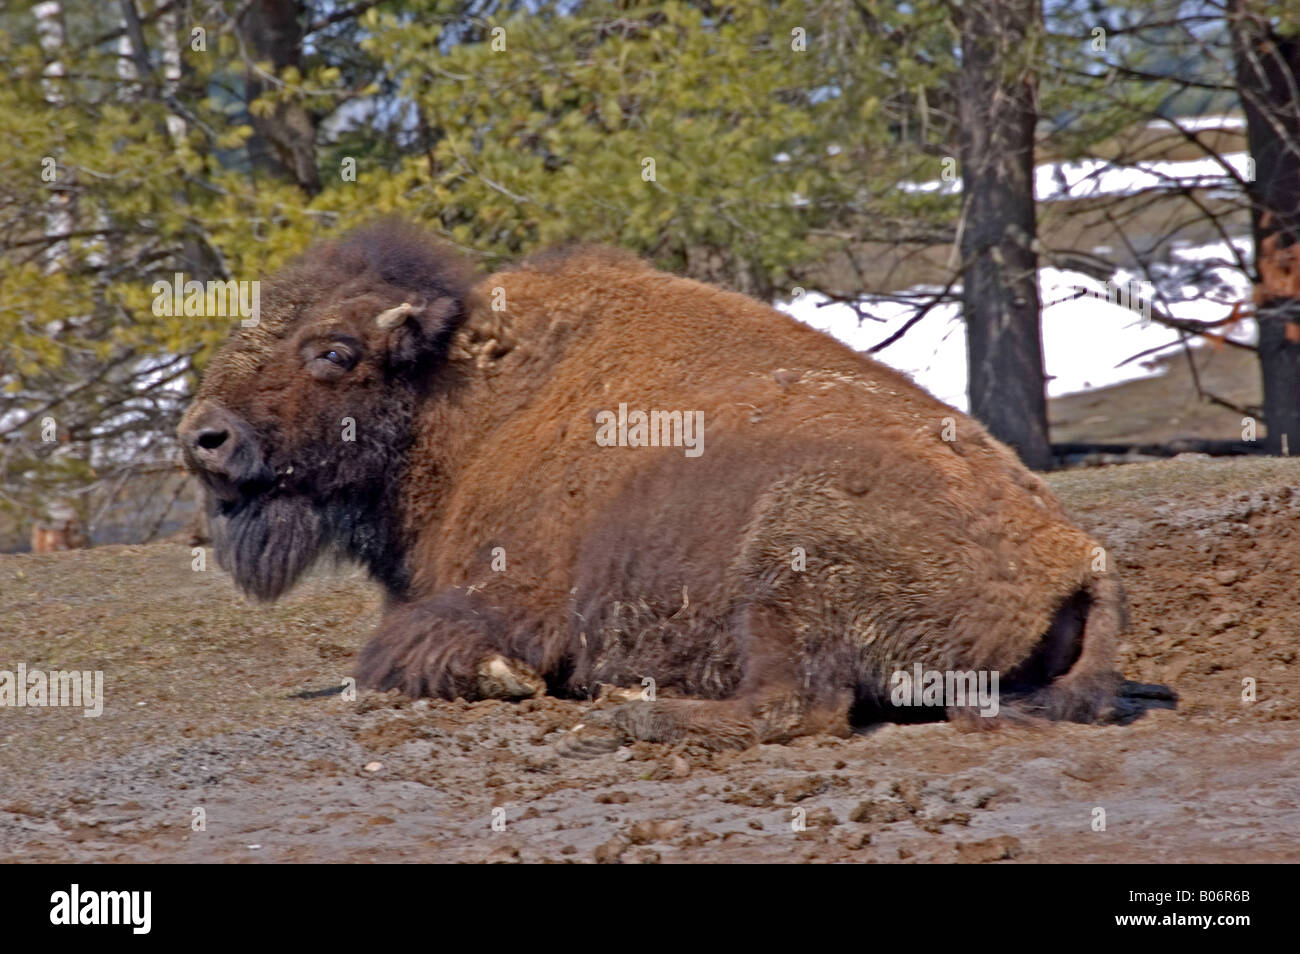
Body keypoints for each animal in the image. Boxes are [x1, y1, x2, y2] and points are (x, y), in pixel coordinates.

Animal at [178, 220, 1130, 753]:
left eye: (333, 351)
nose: (203, 438)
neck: (462, 398)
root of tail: (1077, 556)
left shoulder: (510, 598)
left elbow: (404, 651)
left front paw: (507, 679)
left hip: (790, 557)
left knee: (800, 707)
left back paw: (636, 714)